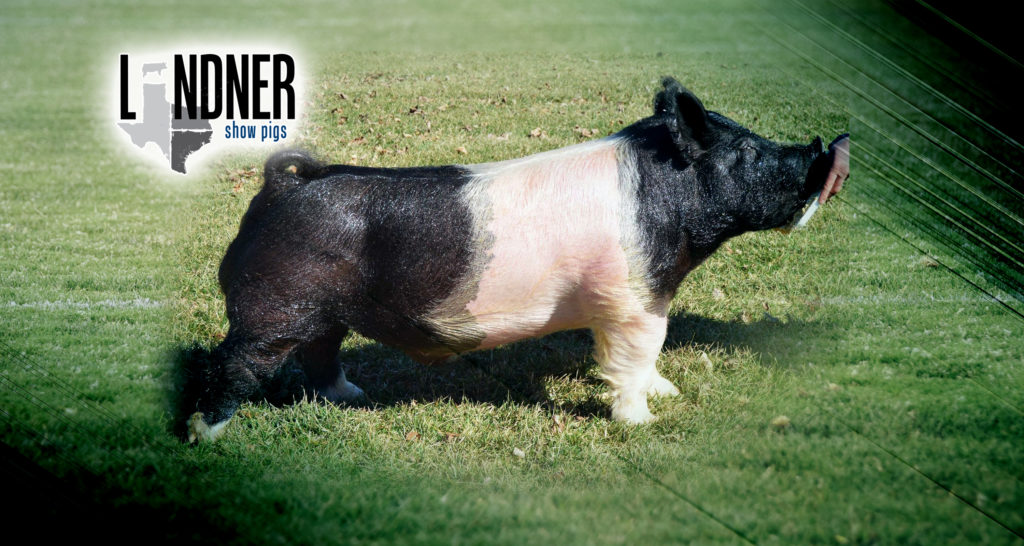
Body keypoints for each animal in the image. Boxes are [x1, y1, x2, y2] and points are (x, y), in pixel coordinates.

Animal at [186, 77, 850, 442]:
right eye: (749, 153)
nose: (826, 150)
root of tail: (283, 186)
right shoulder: (635, 299)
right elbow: (638, 354)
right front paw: (643, 422)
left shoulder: (626, 301)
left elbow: (638, 358)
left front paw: (669, 394)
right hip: (270, 308)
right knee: (235, 365)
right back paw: (206, 437)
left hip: (320, 312)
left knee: (321, 352)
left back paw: (351, 395)